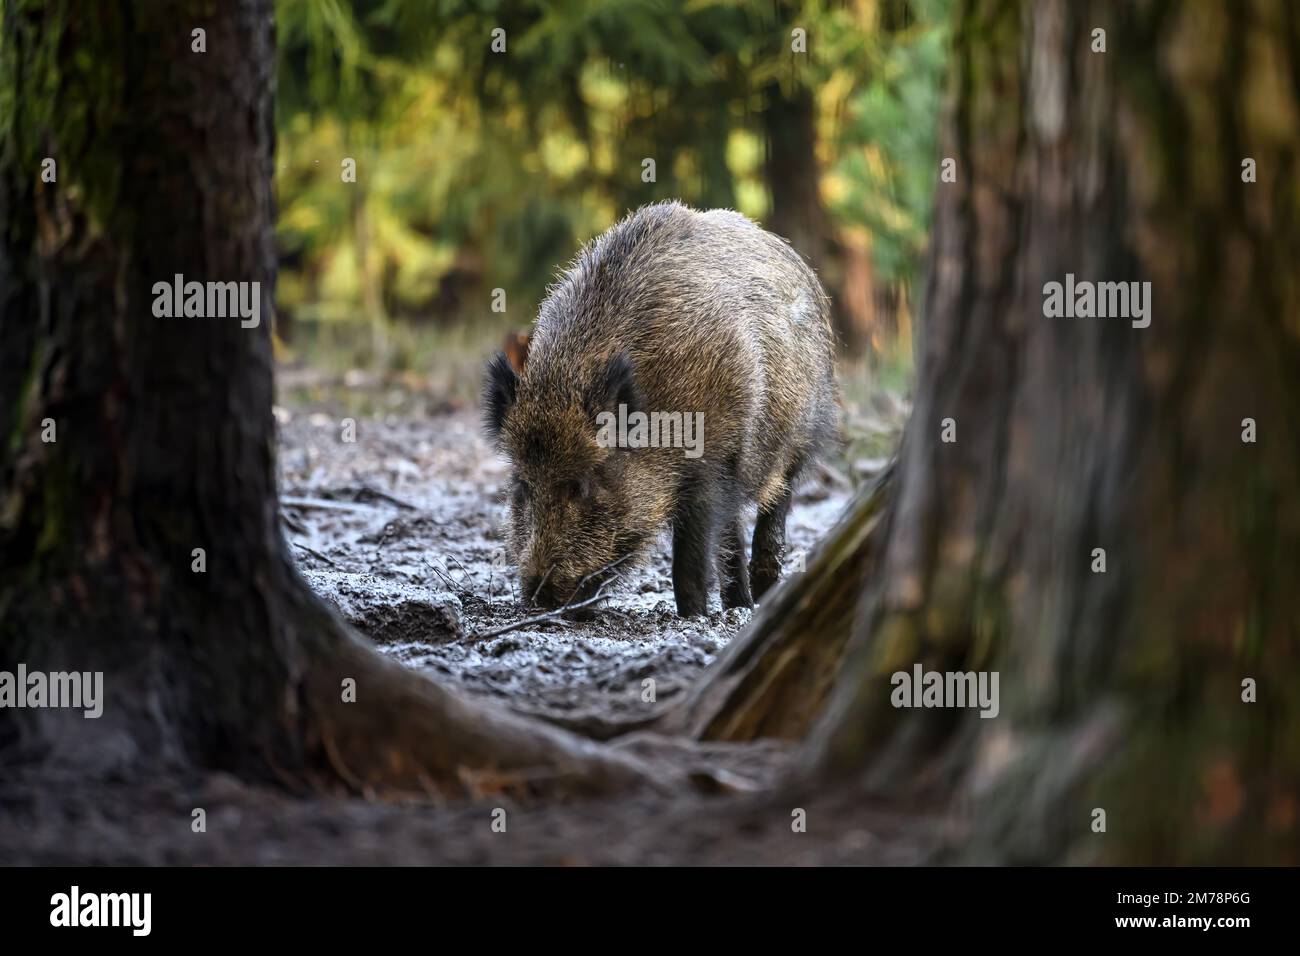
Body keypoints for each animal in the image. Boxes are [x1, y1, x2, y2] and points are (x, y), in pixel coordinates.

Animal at [483, 200, 838, 617]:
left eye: (582, 484)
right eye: (522, 485)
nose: (537, 597)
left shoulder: (713, 461)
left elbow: (690, 558)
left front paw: (694, 615)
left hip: (800, 437)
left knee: (773, 509)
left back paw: (760, 596)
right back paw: (738, 604)